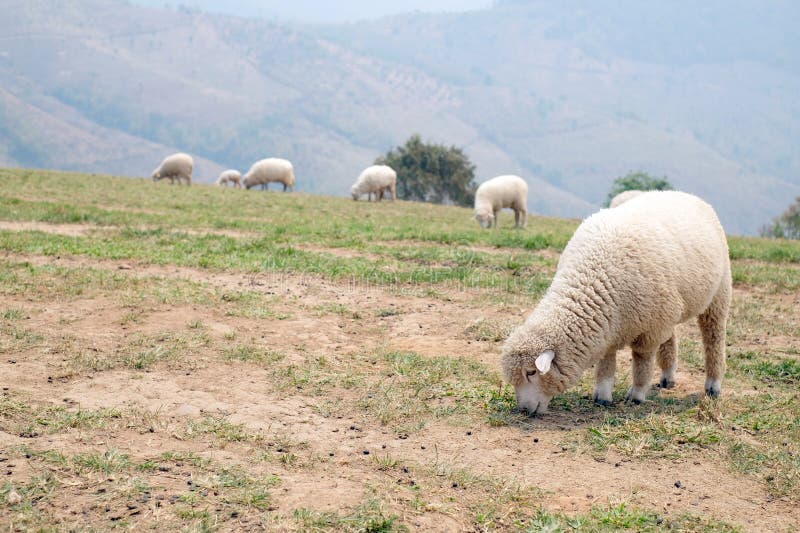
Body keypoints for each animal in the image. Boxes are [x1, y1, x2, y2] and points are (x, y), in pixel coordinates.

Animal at [500, 191, 731, 414]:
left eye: (531, 372)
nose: (524, 410)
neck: (594, 275)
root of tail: (686, 194)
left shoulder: (648, 332)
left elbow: (642, 361)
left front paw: (637, 394)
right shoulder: (610, 327)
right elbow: (606, 362)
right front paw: (602, 395)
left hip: (717, 293)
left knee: (713, 338)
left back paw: (713, 386)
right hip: (668, 309)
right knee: (670, 338)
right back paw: (667, 377)